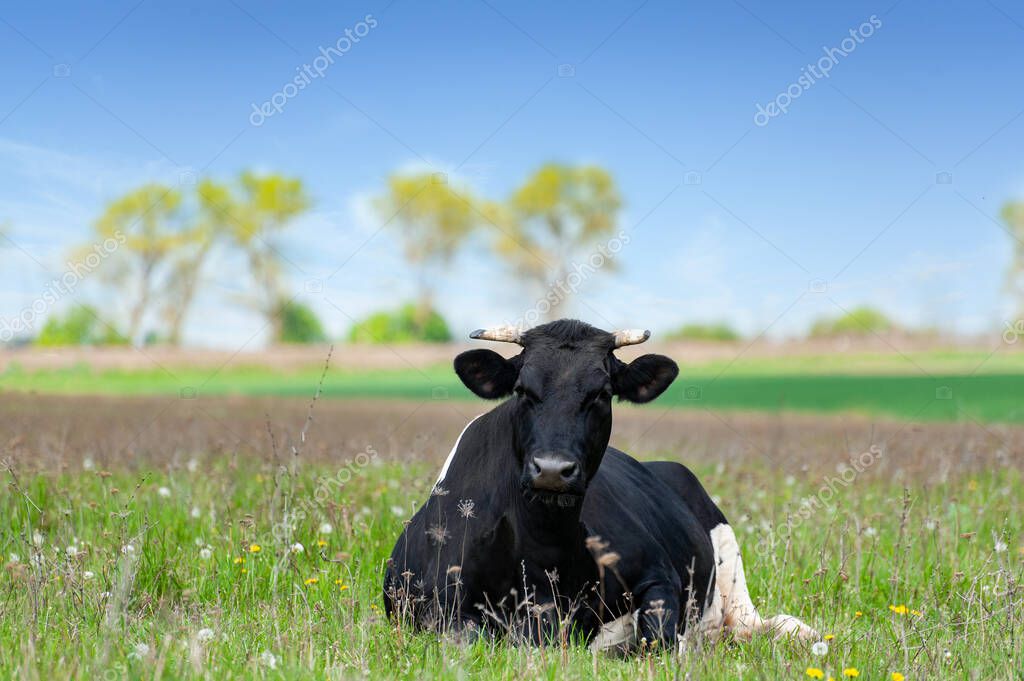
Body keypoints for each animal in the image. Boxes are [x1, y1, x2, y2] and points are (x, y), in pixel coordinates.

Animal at [382, 319, 816, 651]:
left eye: (602, 393)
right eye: (522, 389)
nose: (552, 469)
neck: (544, 553)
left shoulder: (658, 572)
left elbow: (655, 638)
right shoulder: (437, 607)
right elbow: (475, 637)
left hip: (731, 571)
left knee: (757, 624)